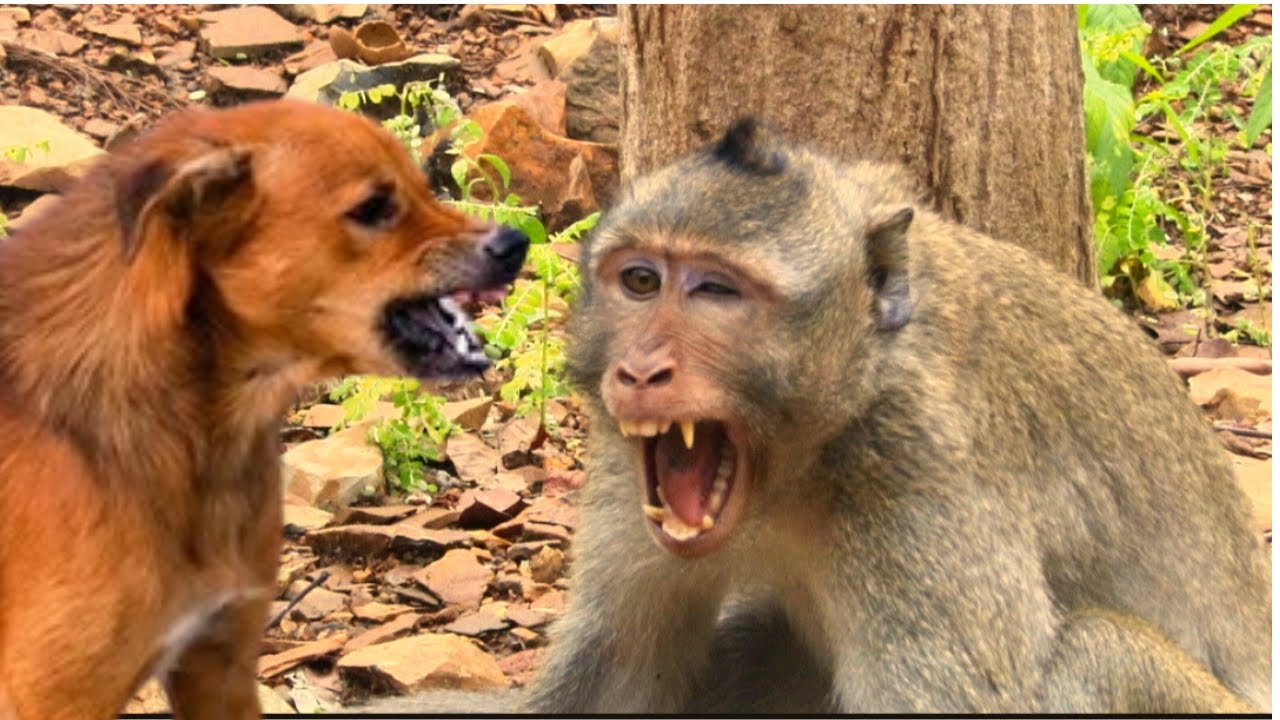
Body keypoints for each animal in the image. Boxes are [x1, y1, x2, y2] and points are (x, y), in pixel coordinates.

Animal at [360, 118, 1270, 714]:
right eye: (641, 281)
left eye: (715, 292)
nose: (640, 369)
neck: (805, 456)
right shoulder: (630, 468)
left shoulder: (918, 482)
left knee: (1090, 652)